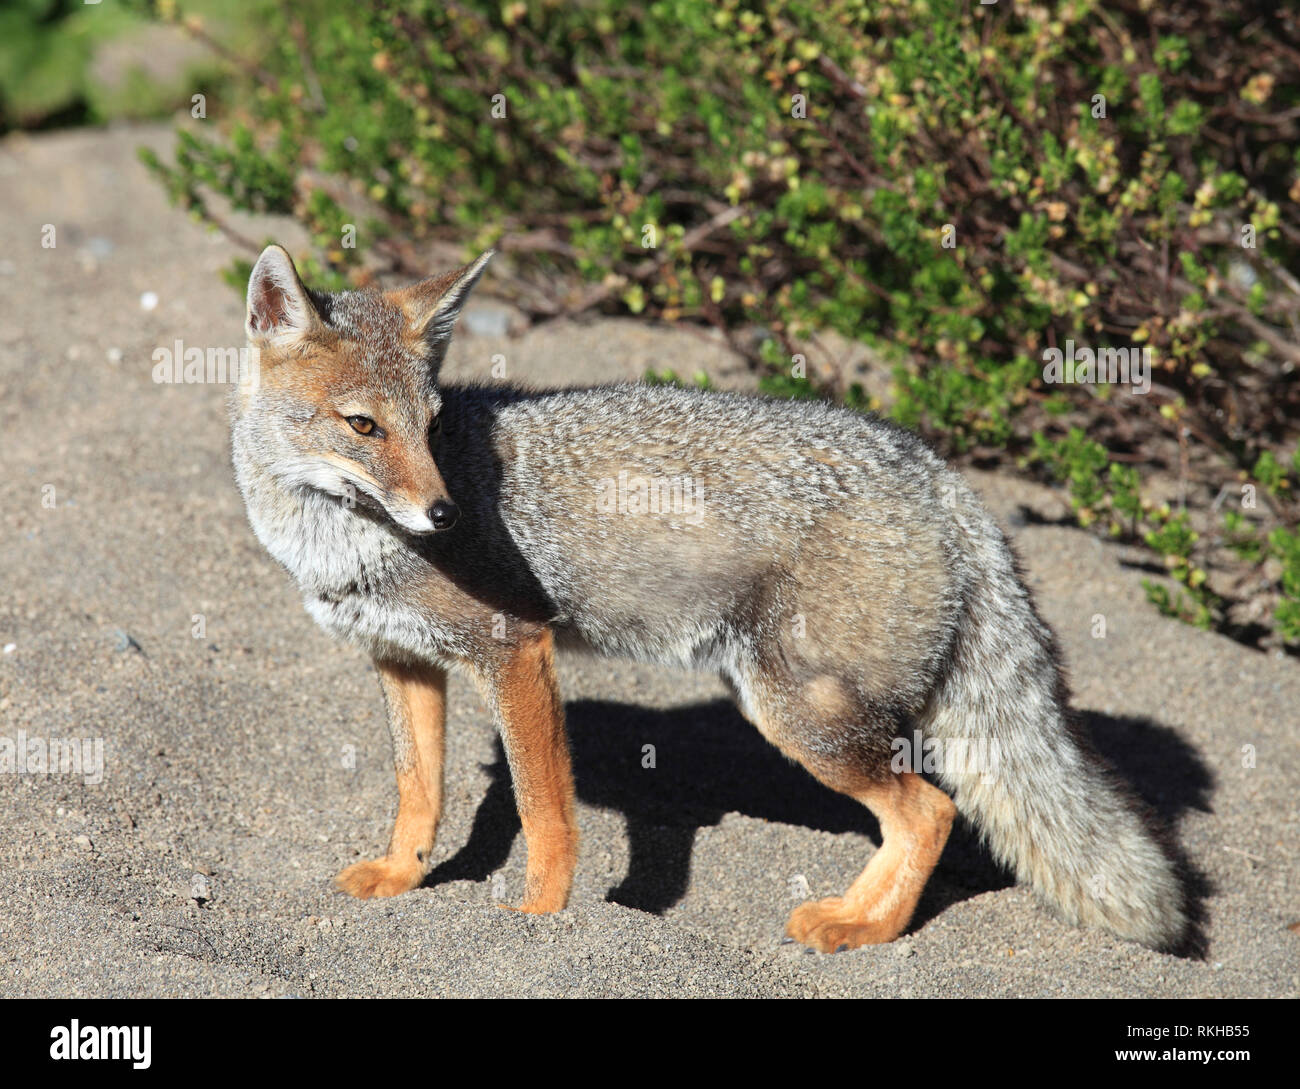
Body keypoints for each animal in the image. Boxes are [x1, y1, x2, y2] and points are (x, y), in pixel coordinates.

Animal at [230, 243, 1188, 953]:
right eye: (364, 425)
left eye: (432, 428)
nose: (445, 513)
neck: (339, 542)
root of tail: (942, 476)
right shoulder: (401, 657)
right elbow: (416, 789)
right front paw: (403, 877)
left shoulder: (516, 650)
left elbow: (544, 811)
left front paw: (540, 922)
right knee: (927, 810)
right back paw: (857, 915)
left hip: (800, 715)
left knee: (932, 808)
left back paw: (864, 928)